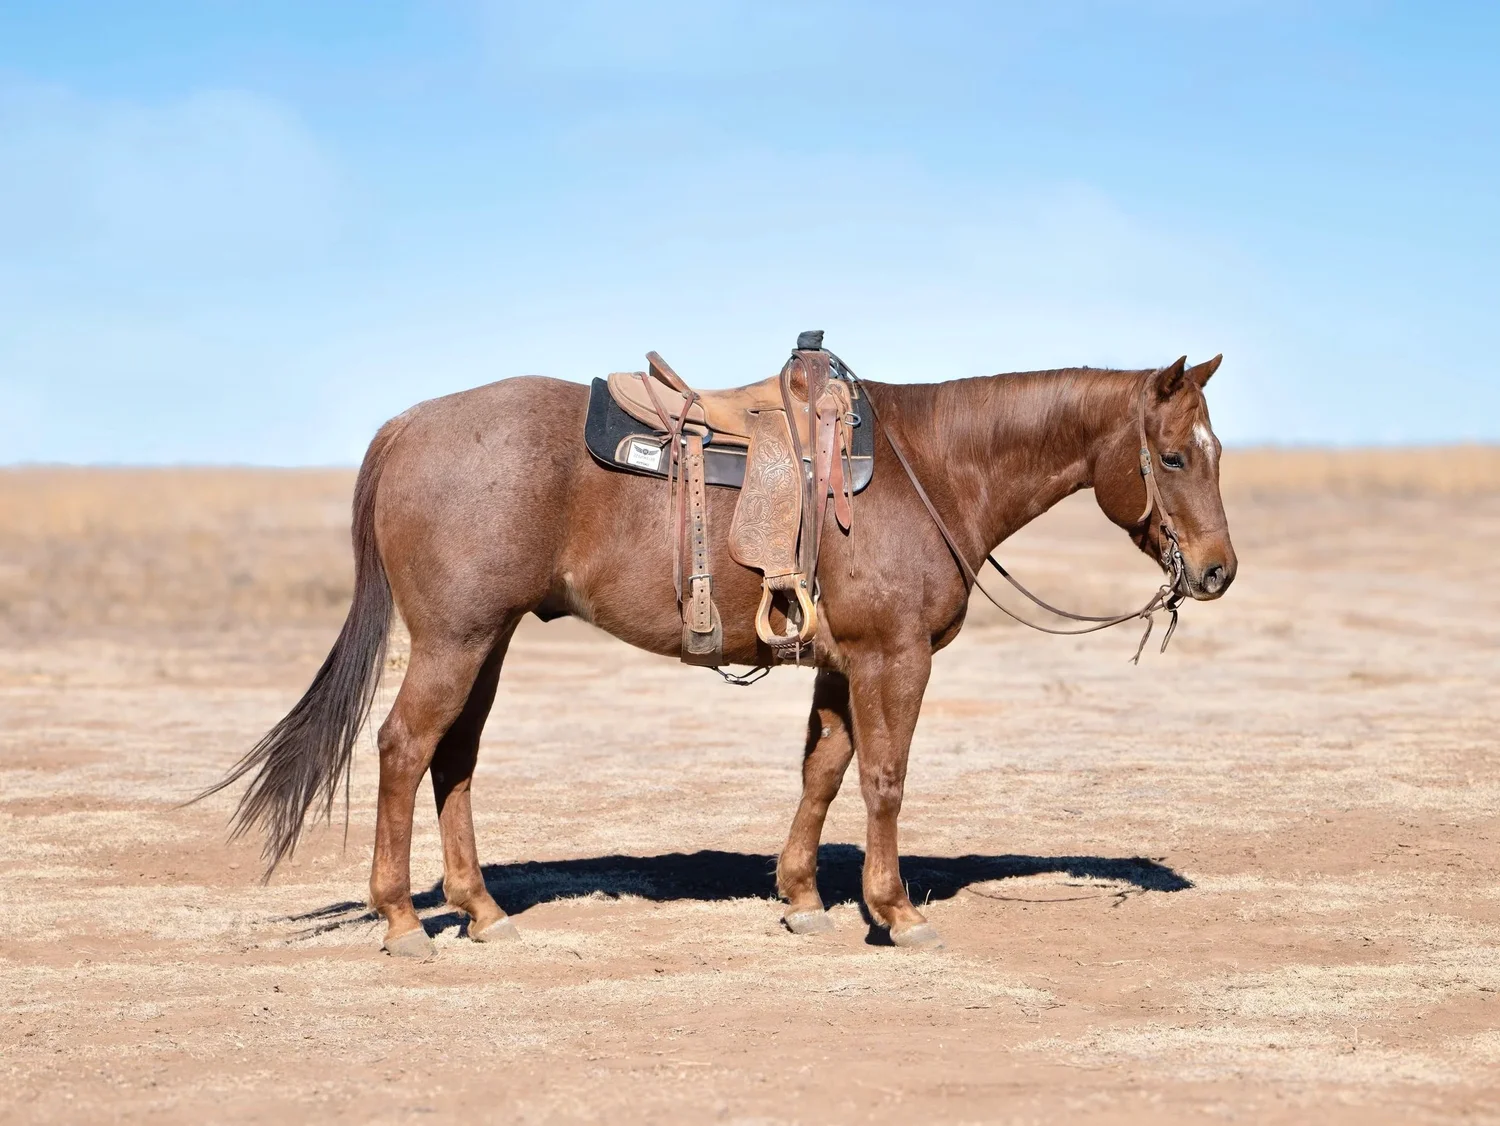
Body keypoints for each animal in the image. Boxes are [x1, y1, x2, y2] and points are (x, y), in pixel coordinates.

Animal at [205, 352, 1236, 957]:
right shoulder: (893, 658)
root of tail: (408, 426)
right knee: (403, 749)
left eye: (1215, 451)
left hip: (485, 641)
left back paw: (482, 911)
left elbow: (824, 772)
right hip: (454, 640)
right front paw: (895, 912)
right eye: (1174, 456)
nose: (1219, 570)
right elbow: (885, 779)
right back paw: (401, 920)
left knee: (452, 758)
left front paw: (801, 898)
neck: (933, 470)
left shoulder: (840, 663)